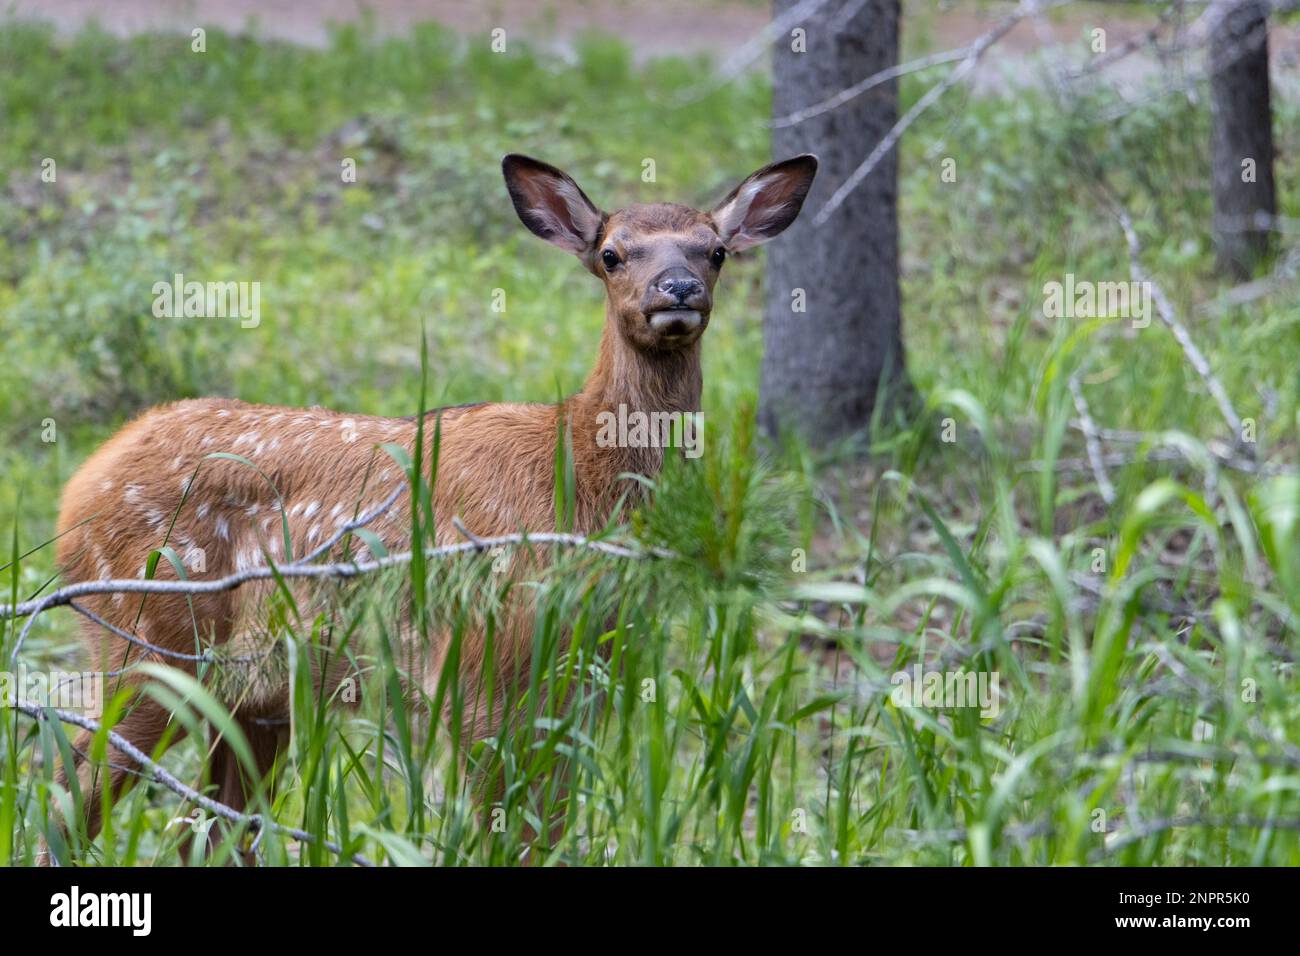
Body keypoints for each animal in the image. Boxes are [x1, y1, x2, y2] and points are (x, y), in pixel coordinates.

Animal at [48, 152, 818, 861]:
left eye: (715, 250)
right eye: (612, 253)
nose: (678, 289)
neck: (583, 487)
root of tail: (77, 488)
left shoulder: (582, 684)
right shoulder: (479, 670)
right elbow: (503, 834)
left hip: (250, 692)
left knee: (201, 827)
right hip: (144, 639)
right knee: (70, 794)